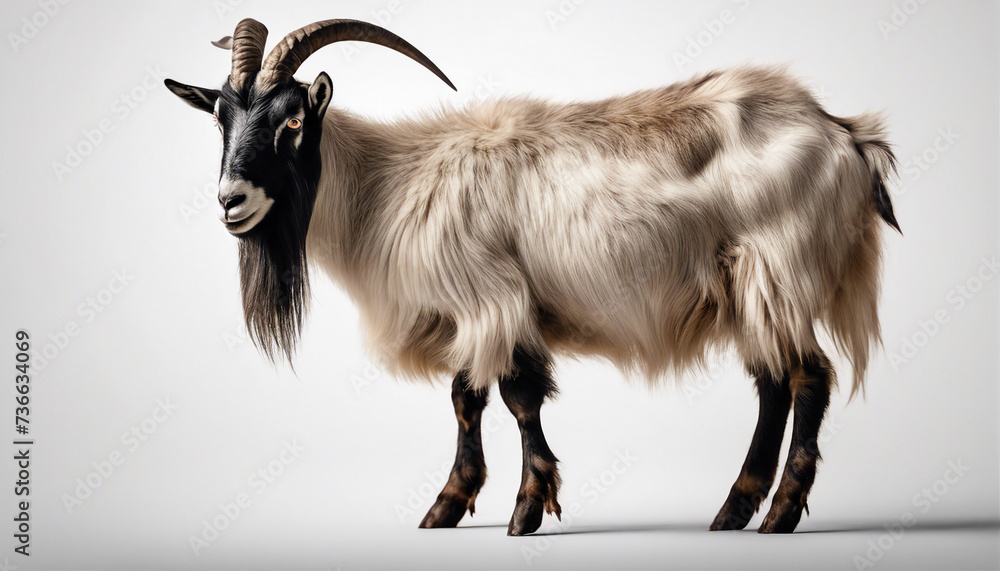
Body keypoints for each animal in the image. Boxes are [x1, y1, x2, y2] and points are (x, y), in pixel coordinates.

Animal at [166, 18, 899, 535]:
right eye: (222, 118)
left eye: (292, 119)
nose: (231, 199)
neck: (386, 185)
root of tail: (846, 134)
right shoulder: (468, 312)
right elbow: (466, 397)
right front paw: (446, 507)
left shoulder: (494, 297)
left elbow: (517, 396)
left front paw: (525, 510)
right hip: (750, 288)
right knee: (774, 381)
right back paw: (733, 512)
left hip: (779, 270)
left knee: (809, 377)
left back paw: (778, 515)